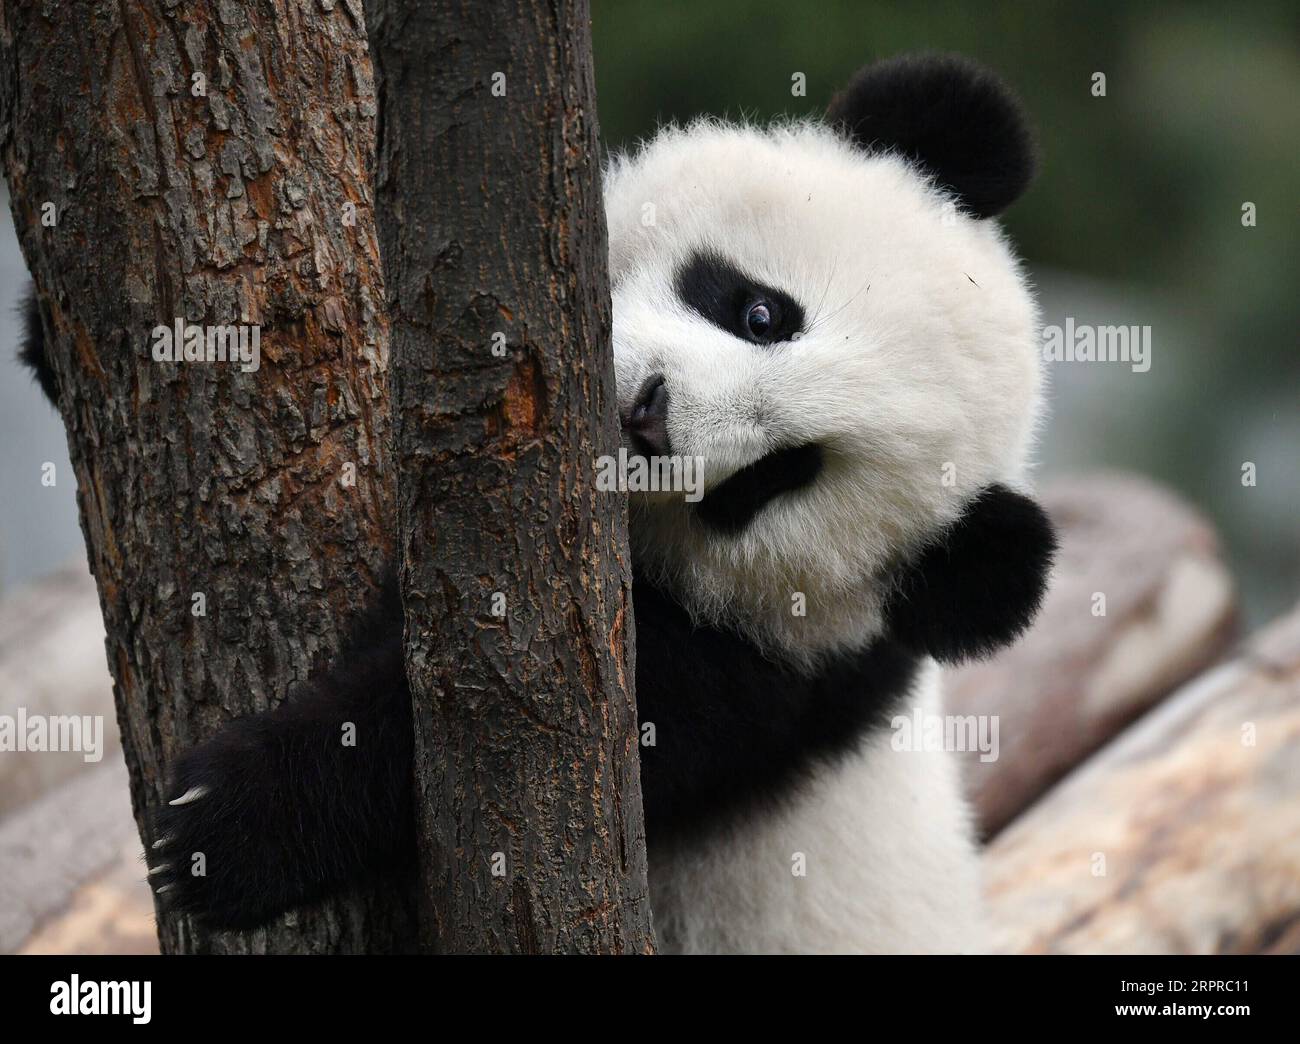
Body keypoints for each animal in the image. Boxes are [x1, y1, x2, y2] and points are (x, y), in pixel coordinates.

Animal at [19, 53, 1055, 954]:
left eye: (779, 476)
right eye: (763, 313)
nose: (648, 418)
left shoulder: (749, 685)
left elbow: (464, 741)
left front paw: (228, 825)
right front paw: (51, 332)